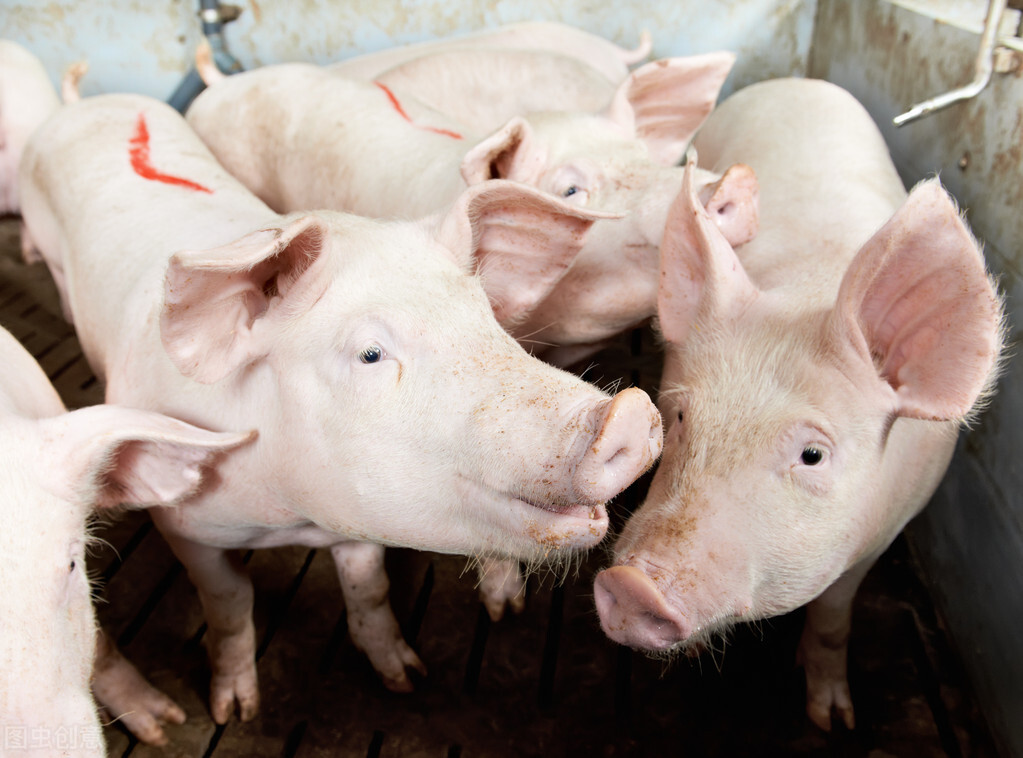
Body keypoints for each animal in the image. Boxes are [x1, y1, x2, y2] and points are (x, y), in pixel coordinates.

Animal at [19, 92, 663, 724]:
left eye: (487, 318)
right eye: (370, 353)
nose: (631, 414)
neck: (290, 517)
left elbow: (369, 588)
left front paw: (404, 679)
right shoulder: (185, 527)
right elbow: (229, 602)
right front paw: (234, 712)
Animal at [592, 78, 1004, 731]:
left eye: (812, 454)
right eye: (680, 417)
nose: (633, 584)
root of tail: (794, 80)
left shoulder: (881, 536)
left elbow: (834, 616)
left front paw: (834, 720)